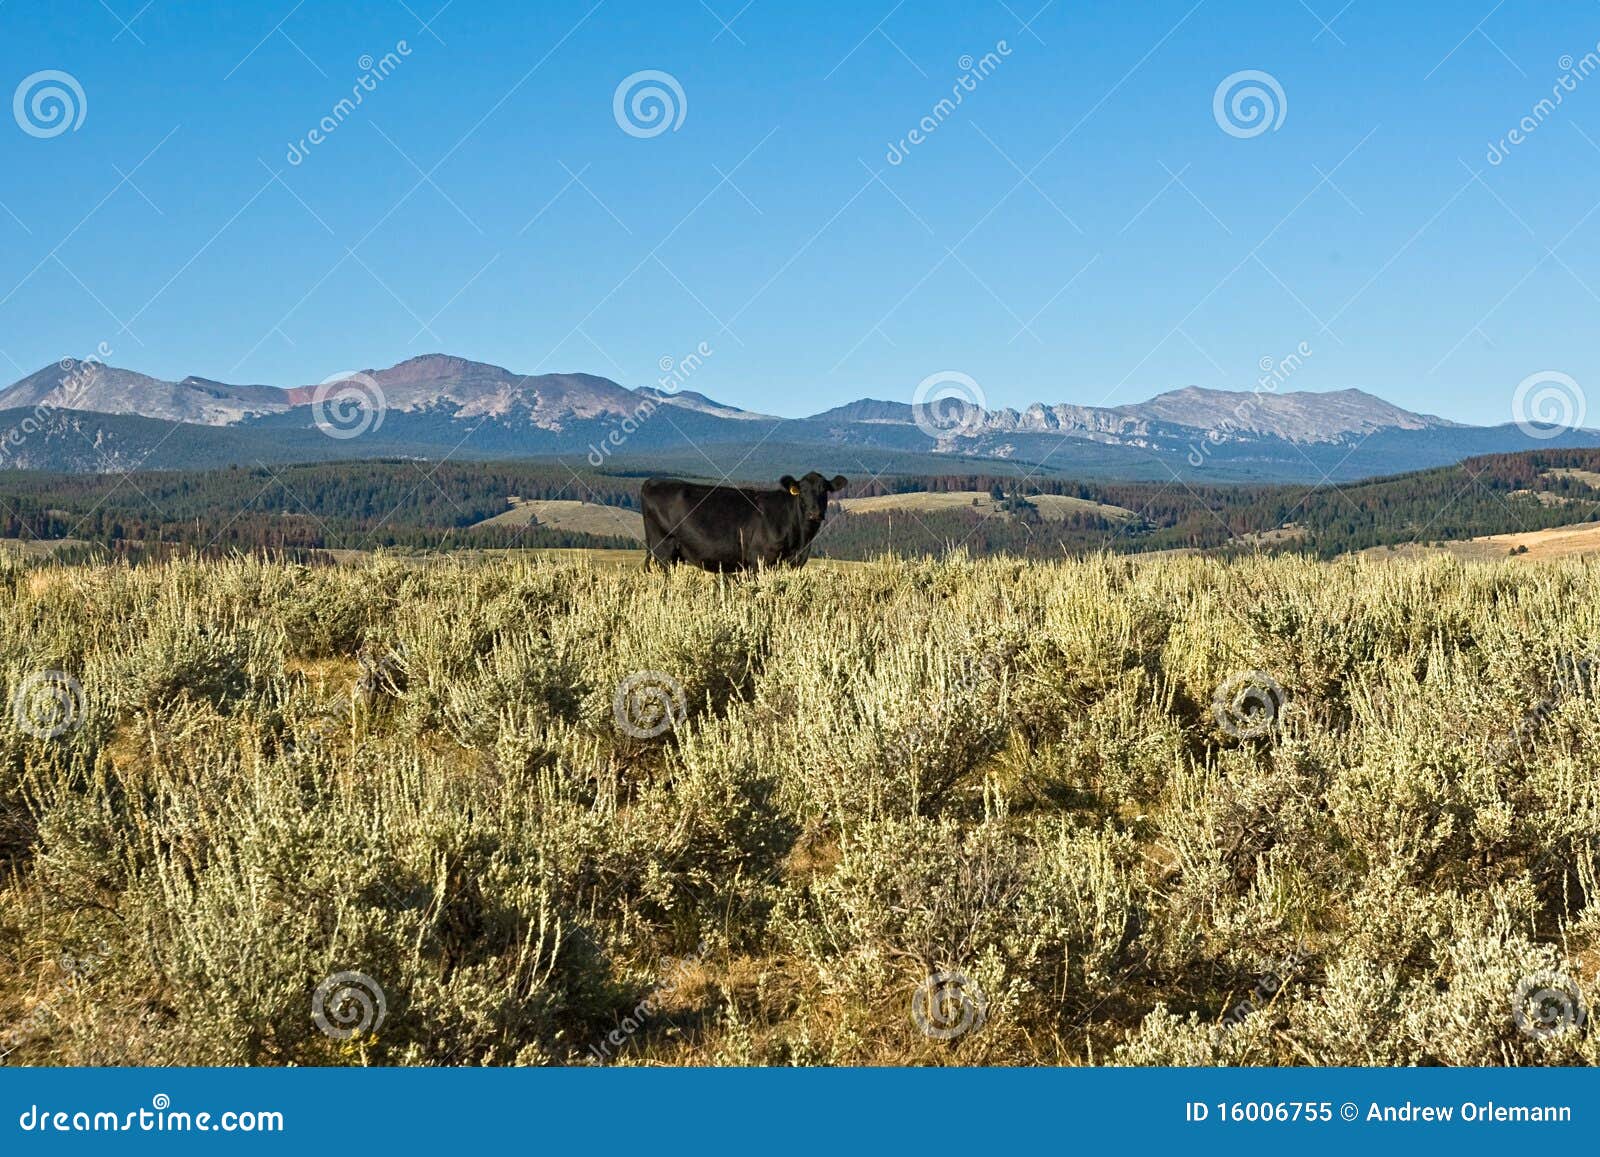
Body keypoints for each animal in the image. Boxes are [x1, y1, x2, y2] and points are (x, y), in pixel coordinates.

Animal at [640, 472, 849, 572]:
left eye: (824, 490)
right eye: (802, 490)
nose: (814, 513)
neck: (800, 541)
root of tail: (652, 481)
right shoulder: (759, 559)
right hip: (662, 549)